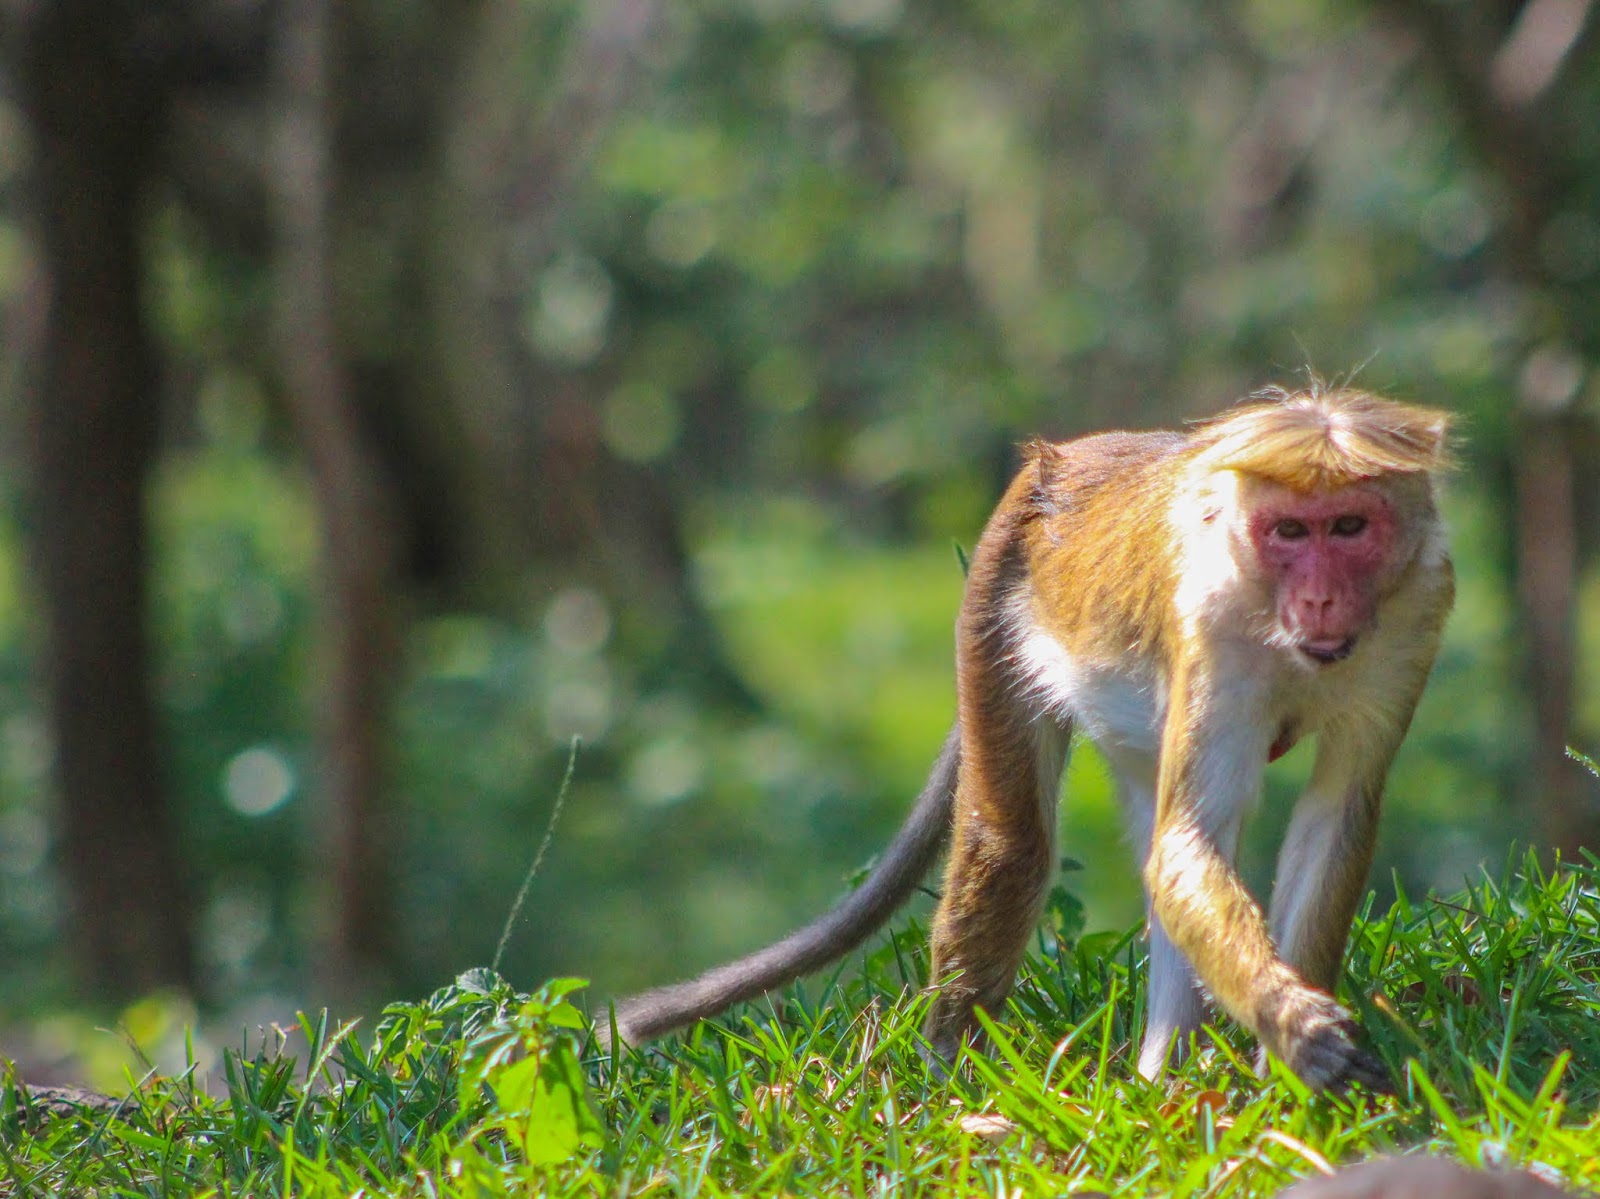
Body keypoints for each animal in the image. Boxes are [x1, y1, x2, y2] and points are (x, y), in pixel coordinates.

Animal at [602, 387, 1453, 1092]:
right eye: (1289, 532)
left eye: (1349, 527)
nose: (1319, 598)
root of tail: (1067, 457)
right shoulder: (1208, 623)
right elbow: (1187, 844)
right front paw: (1296, 1027)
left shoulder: (1420, 611)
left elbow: (1329, 818)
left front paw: (1285, 1066)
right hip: (994, 601)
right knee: (1014, 847)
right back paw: (954, 1081)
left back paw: (1162, 1077)